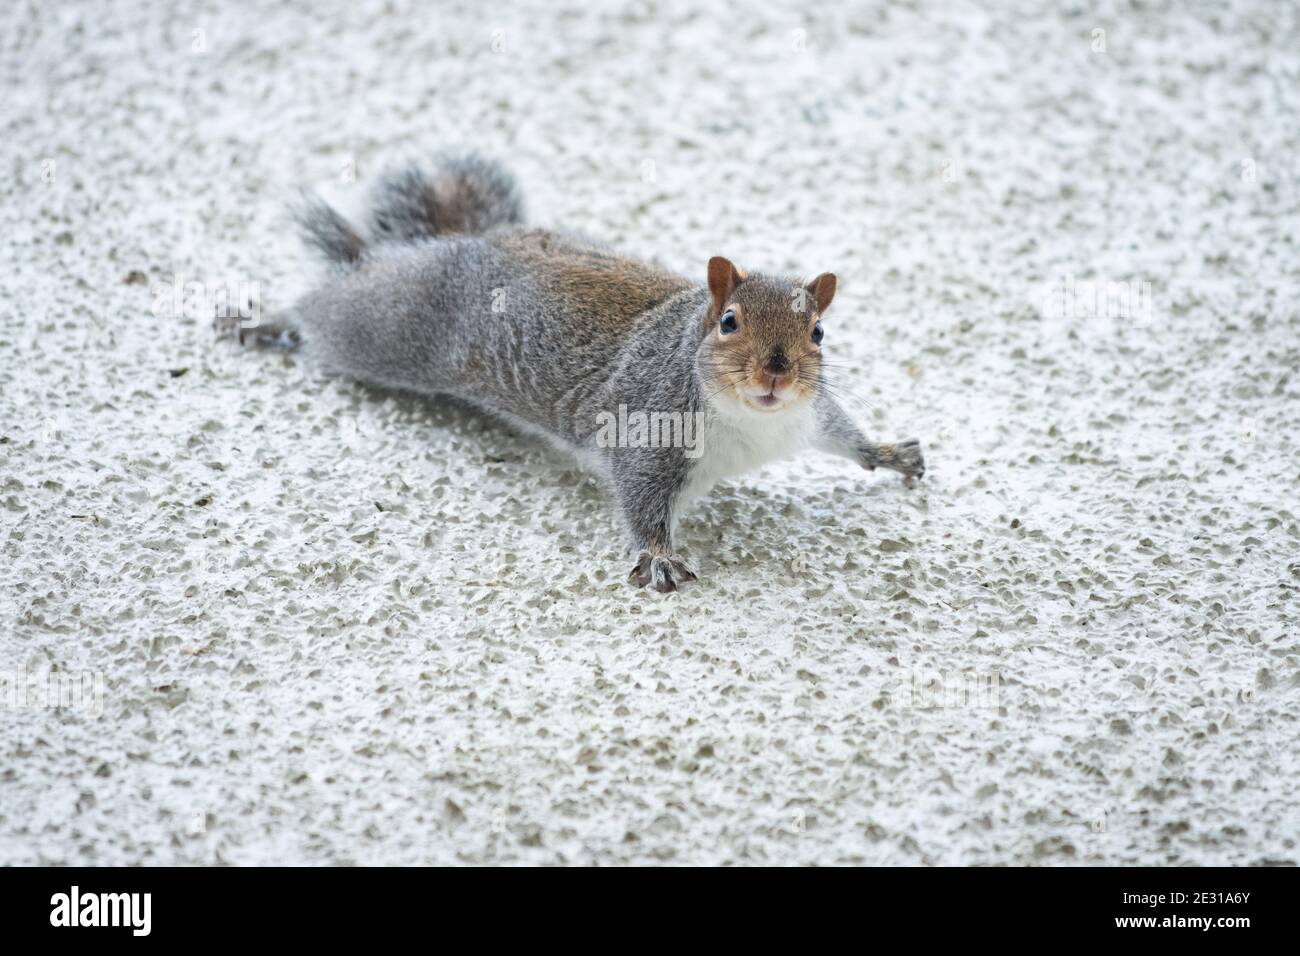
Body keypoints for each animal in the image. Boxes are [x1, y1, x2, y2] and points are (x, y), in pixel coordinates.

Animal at [230, 153, 925, 591]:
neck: (754, 422)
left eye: (819, 332)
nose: (776, 375)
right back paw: (271, 320)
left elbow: (842, 432)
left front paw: (888, 452)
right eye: (728, 322)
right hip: (389, 325)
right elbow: (641, 498)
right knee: (331, 307)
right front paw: (658, 557)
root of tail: (468, 240)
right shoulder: (652, 429)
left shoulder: (809, 415)